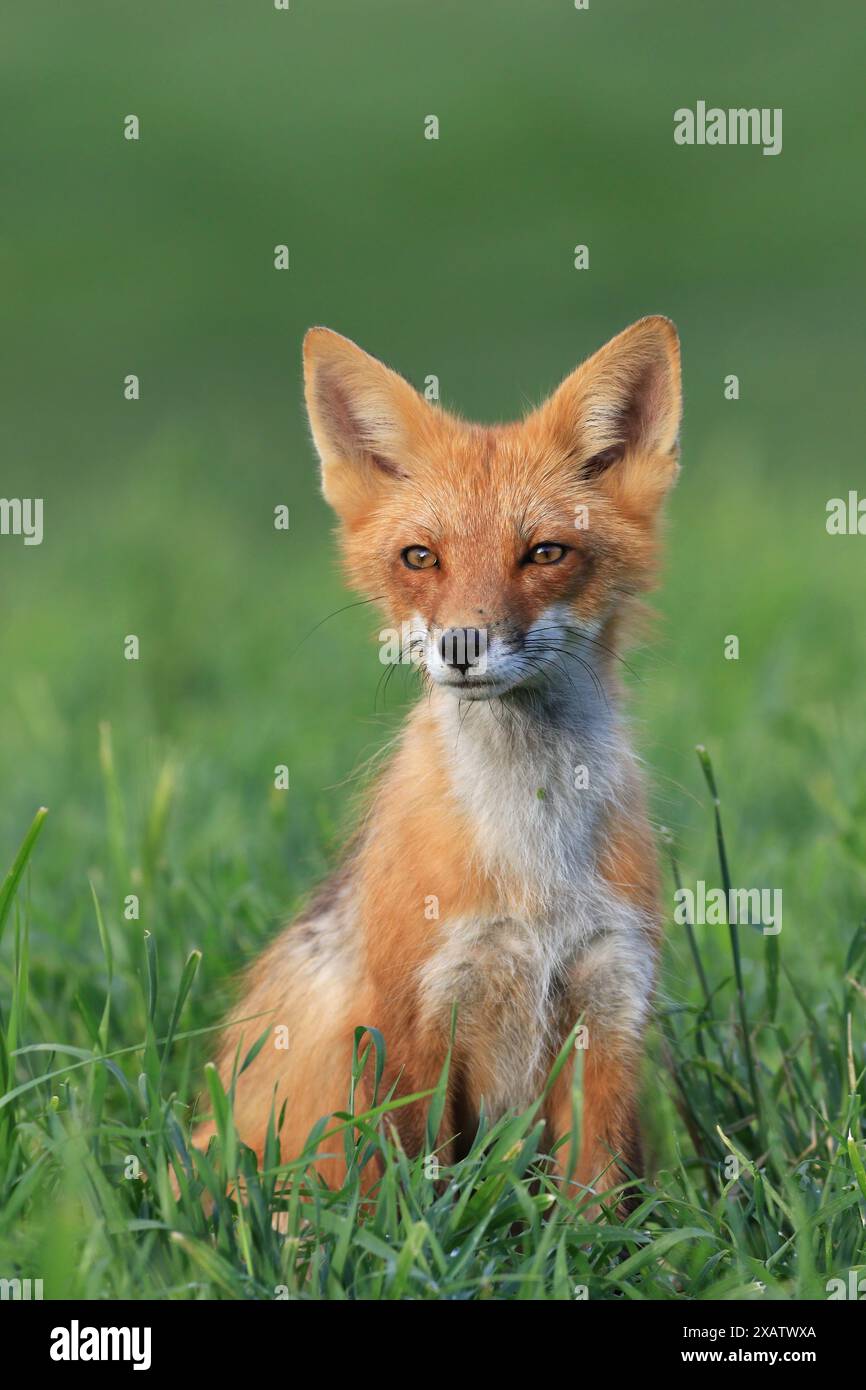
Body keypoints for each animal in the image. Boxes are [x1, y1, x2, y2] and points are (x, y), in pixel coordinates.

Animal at [201, 315, 682, 1208]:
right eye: (421, 558)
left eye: (546, 553)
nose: (462, 646)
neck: (534, 868)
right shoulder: (409, 1025)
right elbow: (407, 1195)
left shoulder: (608, 1006)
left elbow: (594, 1206)